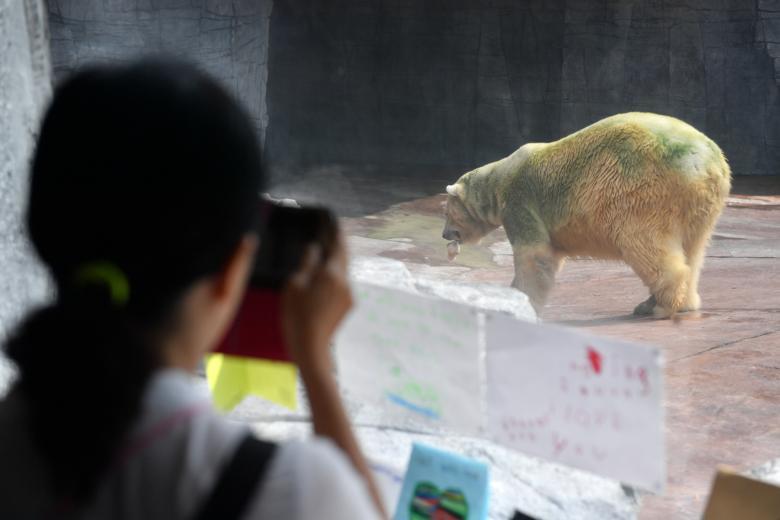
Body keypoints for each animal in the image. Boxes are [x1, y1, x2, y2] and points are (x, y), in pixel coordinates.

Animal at [442, 112, 731, 318]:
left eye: (446, 211)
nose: (445, 234)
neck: (497, 181)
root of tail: (708, 162)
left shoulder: (520, 202)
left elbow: (534, 255)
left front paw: (518, 302)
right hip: (700, 204)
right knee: (693, 249)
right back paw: (667, 303)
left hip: (645, 192)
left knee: (643, 243)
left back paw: (662, 306)